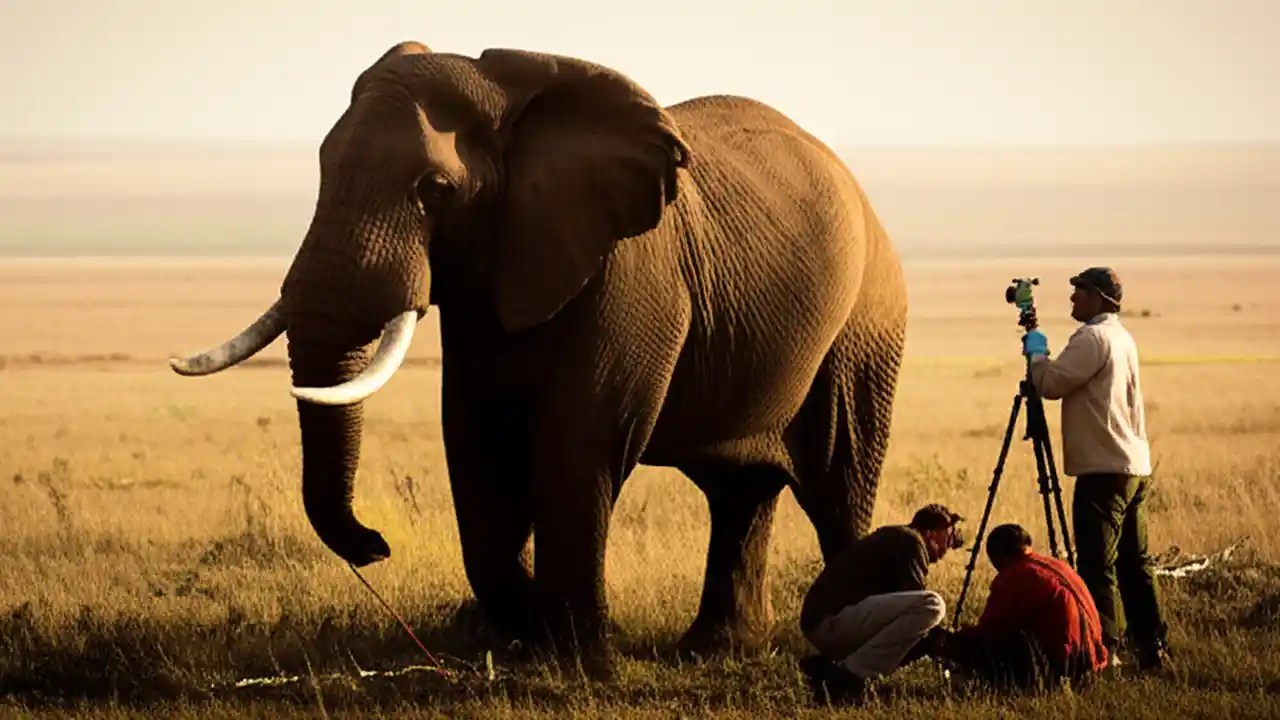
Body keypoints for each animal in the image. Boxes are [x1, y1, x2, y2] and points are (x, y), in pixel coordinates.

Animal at [169, 41, 908, 677]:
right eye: (321, 166)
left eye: (435, 190)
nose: (376, 544)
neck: (512, 105)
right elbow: (476, 439)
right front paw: (524, 637)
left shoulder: (628, 273)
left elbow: (580, 441)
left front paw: (581, 663)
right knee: (740, 492)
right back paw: (713, 652)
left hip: (865, 327)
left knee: (839, 480)